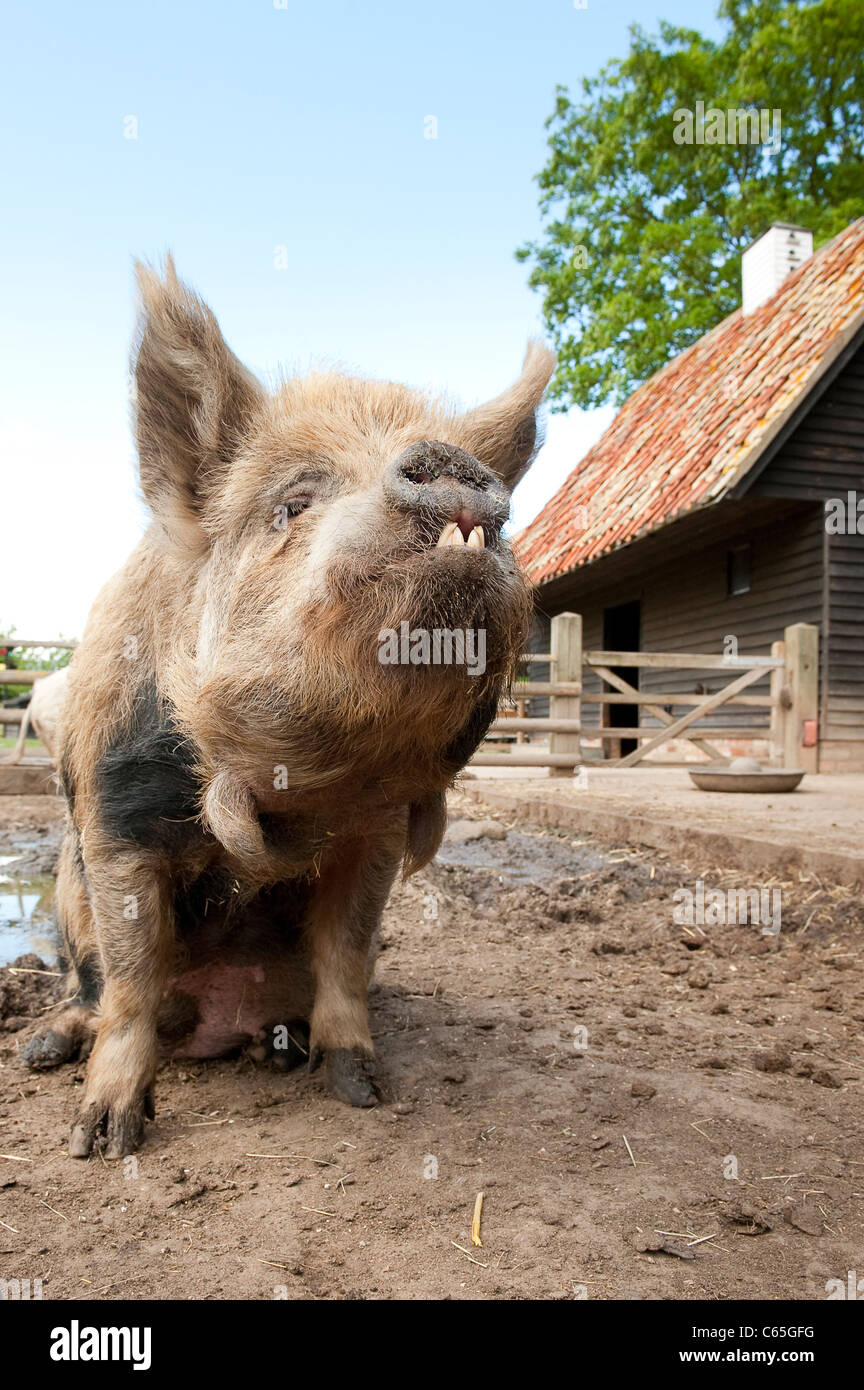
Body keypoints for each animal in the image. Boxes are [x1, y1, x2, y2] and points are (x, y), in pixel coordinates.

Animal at [22, 257, 553, 1158]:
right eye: (295, 502)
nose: (443, 457)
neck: (306, 788)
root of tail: (214, 1023)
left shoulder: (378, 835)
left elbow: (345, 956)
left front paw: (365, 1091)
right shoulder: (119, 817)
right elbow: (130, 980)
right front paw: (104, 1141)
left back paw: (285, 1050)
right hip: (64, 886)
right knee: (84, 985)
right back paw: (41, 1050)